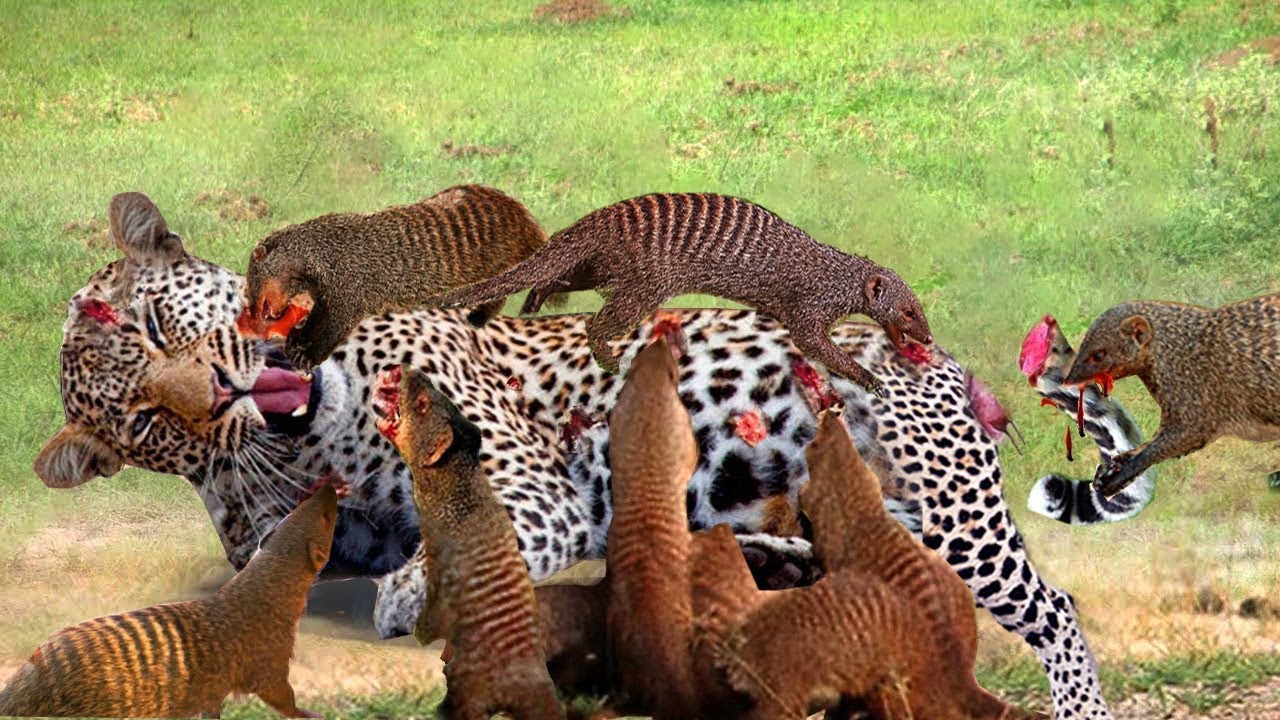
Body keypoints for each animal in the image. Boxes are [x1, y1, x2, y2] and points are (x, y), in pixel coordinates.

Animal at [37, 192, 1112, 719]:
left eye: (156, 325)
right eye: (144, 420)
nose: (220, 394)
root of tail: (957, 365)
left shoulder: (536, 488)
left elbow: (467, 532)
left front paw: (411, 591)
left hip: (952, 502)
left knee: (1053, 605)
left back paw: (1082, 705)